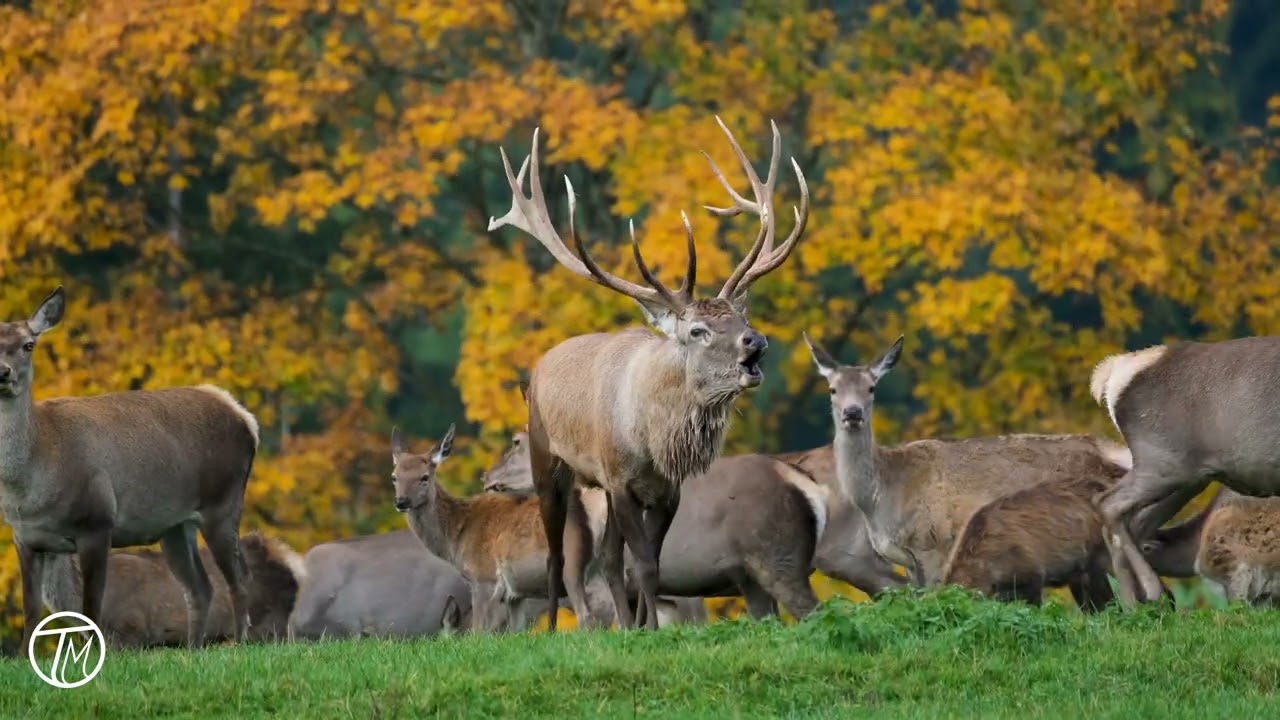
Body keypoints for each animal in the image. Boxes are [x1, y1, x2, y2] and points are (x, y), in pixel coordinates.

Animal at [0, 286, 260, 654]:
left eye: (28, 344)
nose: (3, 372)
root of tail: (244, 417)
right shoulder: (25, 537)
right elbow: (30, 610)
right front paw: (24, 658)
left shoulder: (97, 523)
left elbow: (91, 607)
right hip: (174, 525)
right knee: (200, 587)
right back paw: (194, 650)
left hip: (223, 503)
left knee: (239, 578)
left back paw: (239, 645)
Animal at [390, 424, 608, 631]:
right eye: (394, 477)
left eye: (424, 477)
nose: (402, 501)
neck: (456, 537)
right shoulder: (515, 595)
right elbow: (516, 630)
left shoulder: (484, 579)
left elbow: (478, 632)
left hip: (572, 563)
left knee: (586, 618)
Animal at [803, 332, 1137, 592]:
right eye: (833, 389)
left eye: (871, 388)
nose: (853, 413)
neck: (882, 499)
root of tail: (1118, 452)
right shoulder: (907, 560)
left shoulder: (933, 543)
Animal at [1088, 337, 1280, 606]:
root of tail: (1113, 373)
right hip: (1162, 462)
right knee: (1108, 504)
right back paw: (1145, 595)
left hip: (1187, 478)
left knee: (1136, 522)